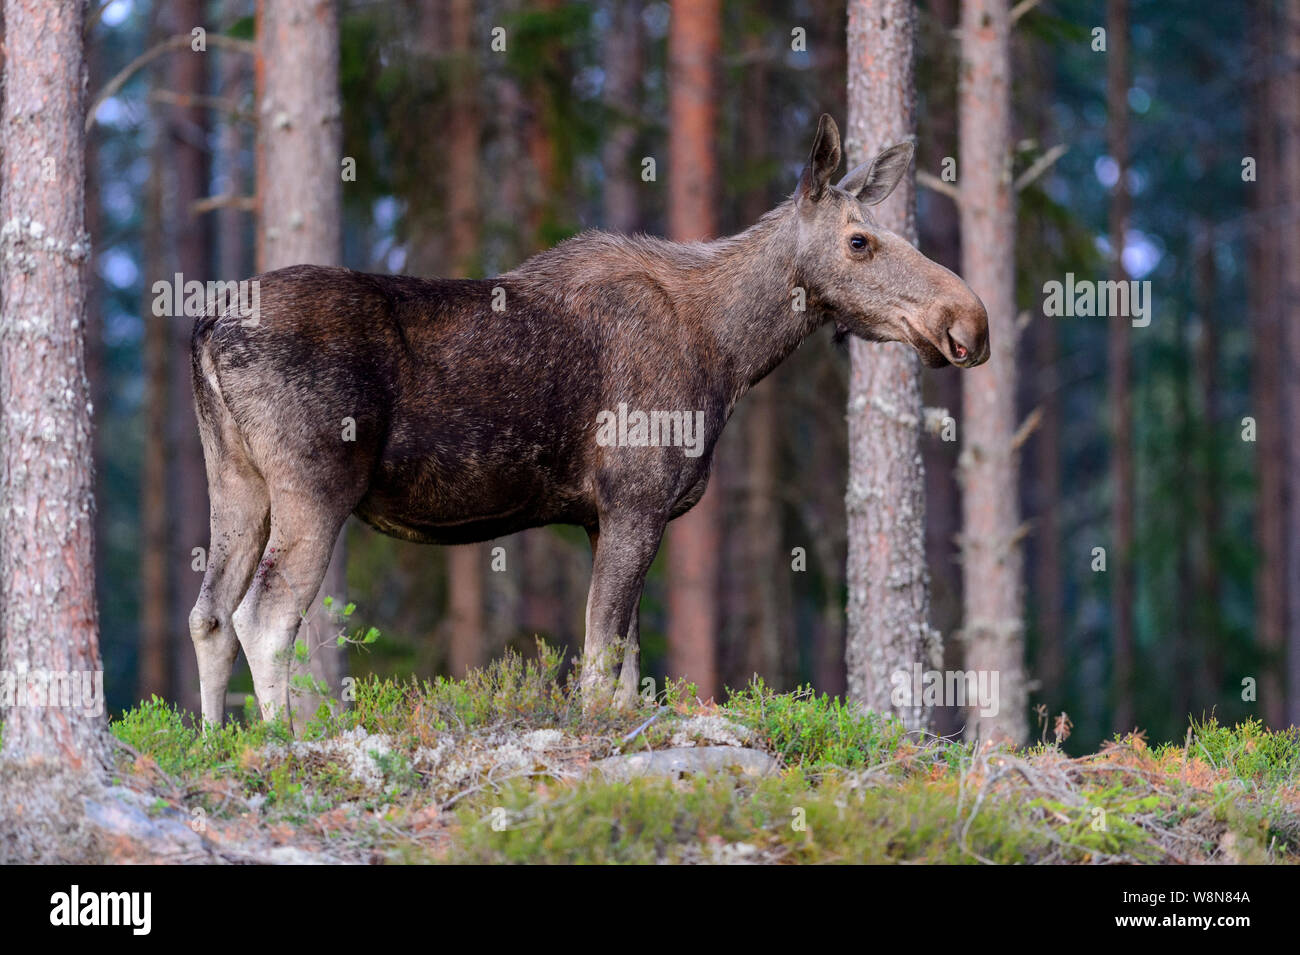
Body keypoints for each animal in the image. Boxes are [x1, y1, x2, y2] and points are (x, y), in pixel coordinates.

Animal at [187, 114, 989, 728]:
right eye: (860, 240)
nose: (968, 323)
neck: (731, 354)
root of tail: (207, 328)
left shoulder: (603, 518)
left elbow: (625, 665)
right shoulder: (635, 501)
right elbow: (602, 663)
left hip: (235, 480)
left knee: (209, 614)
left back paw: (212, 739)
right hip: (314, 484)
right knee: (265, 615)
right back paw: (283, 741)